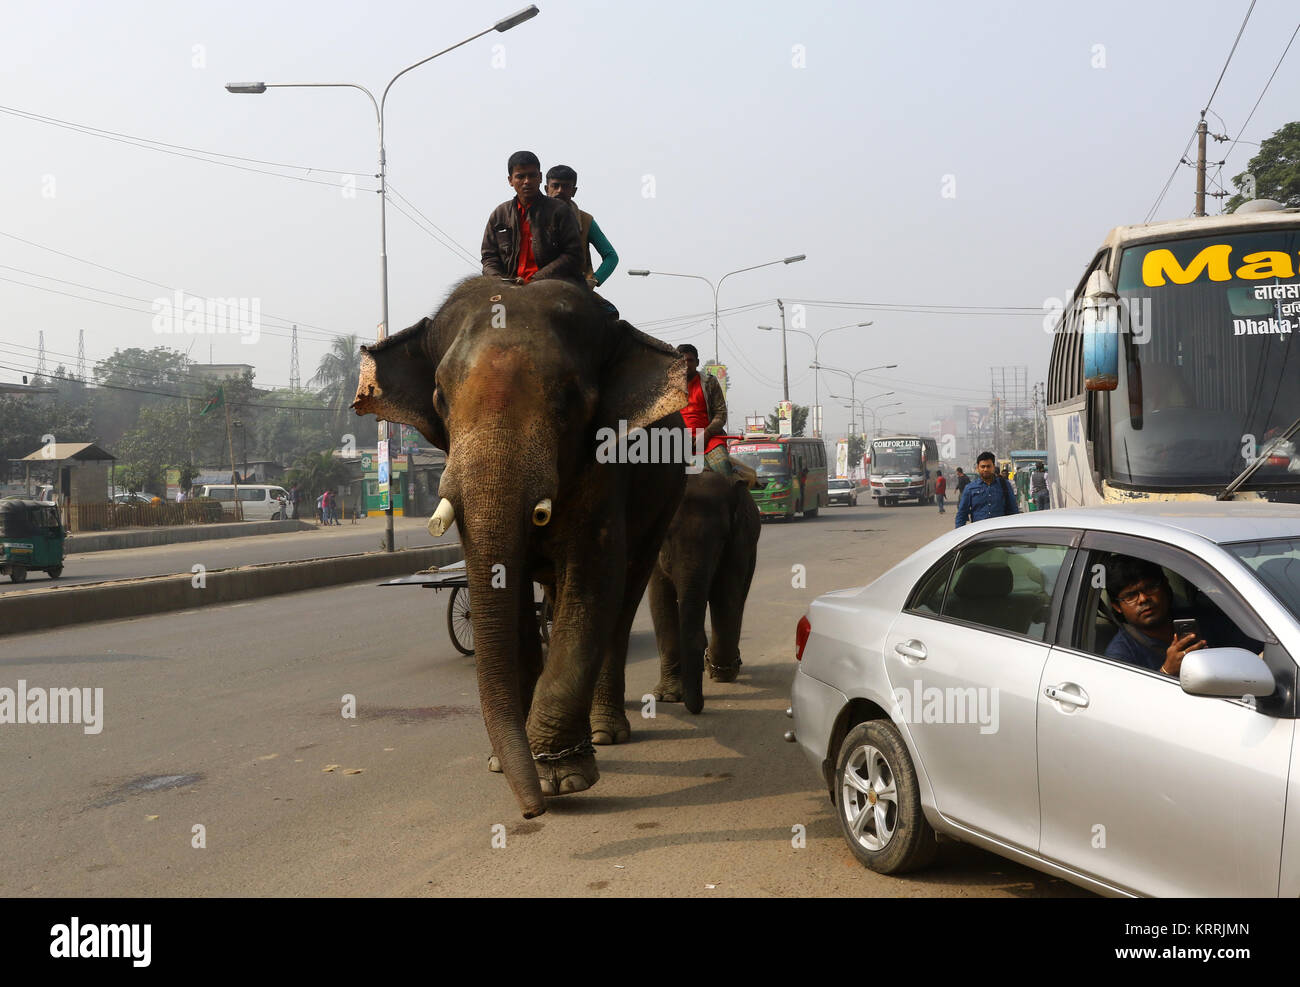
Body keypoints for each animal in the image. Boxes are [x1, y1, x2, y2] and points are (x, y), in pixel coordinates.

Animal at [353, 276, 689, 818]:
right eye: (440, 396)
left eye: (568, 399)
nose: (530, 812)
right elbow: (502, 592)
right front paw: (505, 764)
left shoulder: (607, 467)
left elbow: (592, 580)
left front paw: (559, 778)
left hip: (665, 498)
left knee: (623, 599)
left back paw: (606, 733)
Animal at [649, 462, 761, 714]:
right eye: (666, 538)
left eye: (721, 540)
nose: (699, 707)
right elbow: (659, 598)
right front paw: (668, 697)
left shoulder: (738, 542)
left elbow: (725, 595)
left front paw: (720, 673)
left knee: (738, 598)